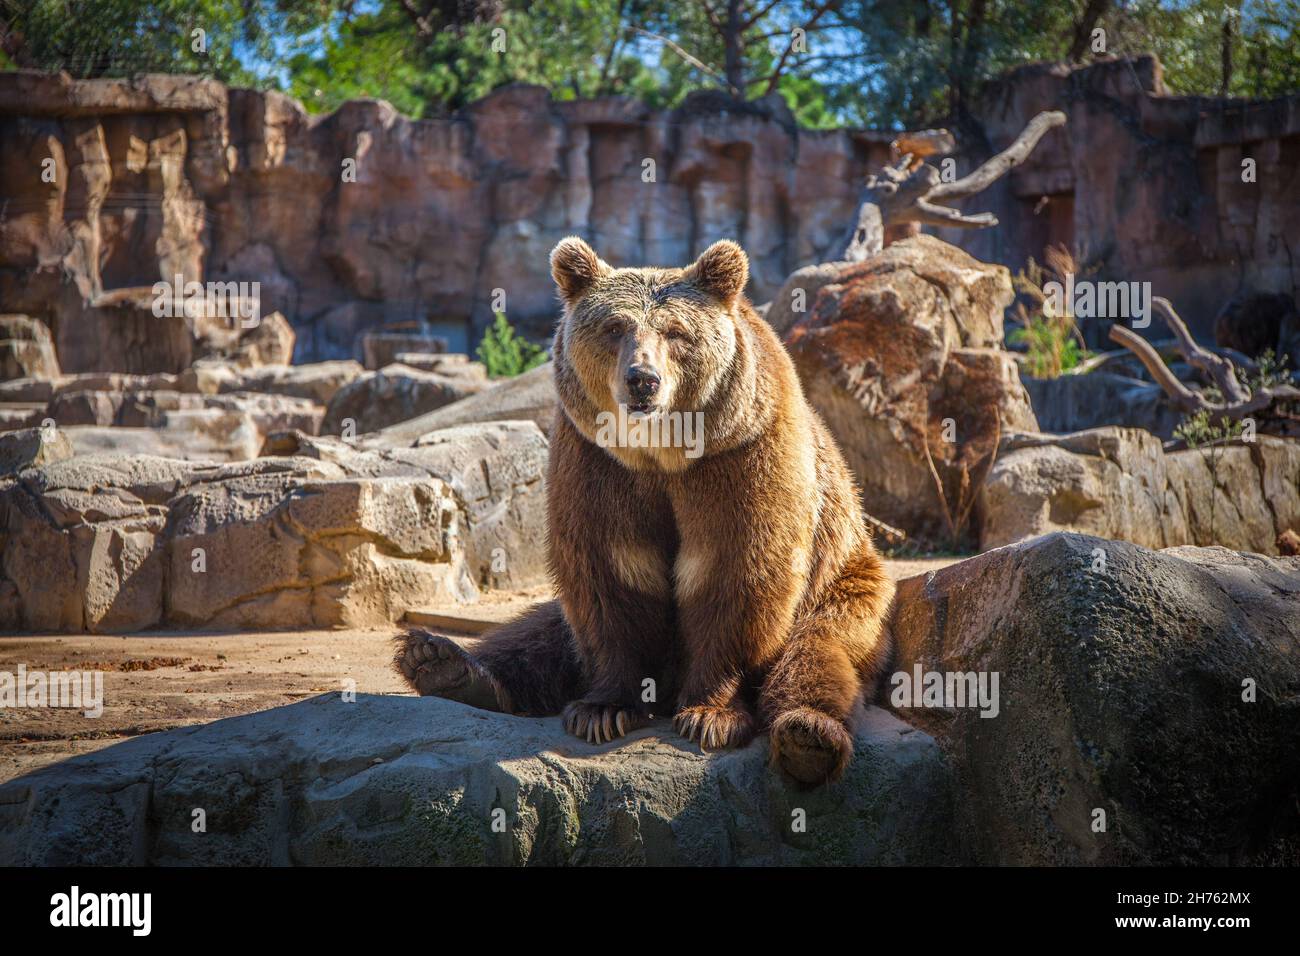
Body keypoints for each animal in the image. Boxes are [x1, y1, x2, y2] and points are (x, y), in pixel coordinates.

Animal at [395, 236, 894, 786]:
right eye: (615, 327)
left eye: (676, 331)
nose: (642, 380)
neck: (662, 453)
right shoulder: (597, 461)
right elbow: (610, 572)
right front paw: (604, 709)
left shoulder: (740, 455)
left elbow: (735, 569)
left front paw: (709, 715)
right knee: (537, 634)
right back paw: (443, 662)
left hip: (845, 585)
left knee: (820, 653)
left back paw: (808, 737)